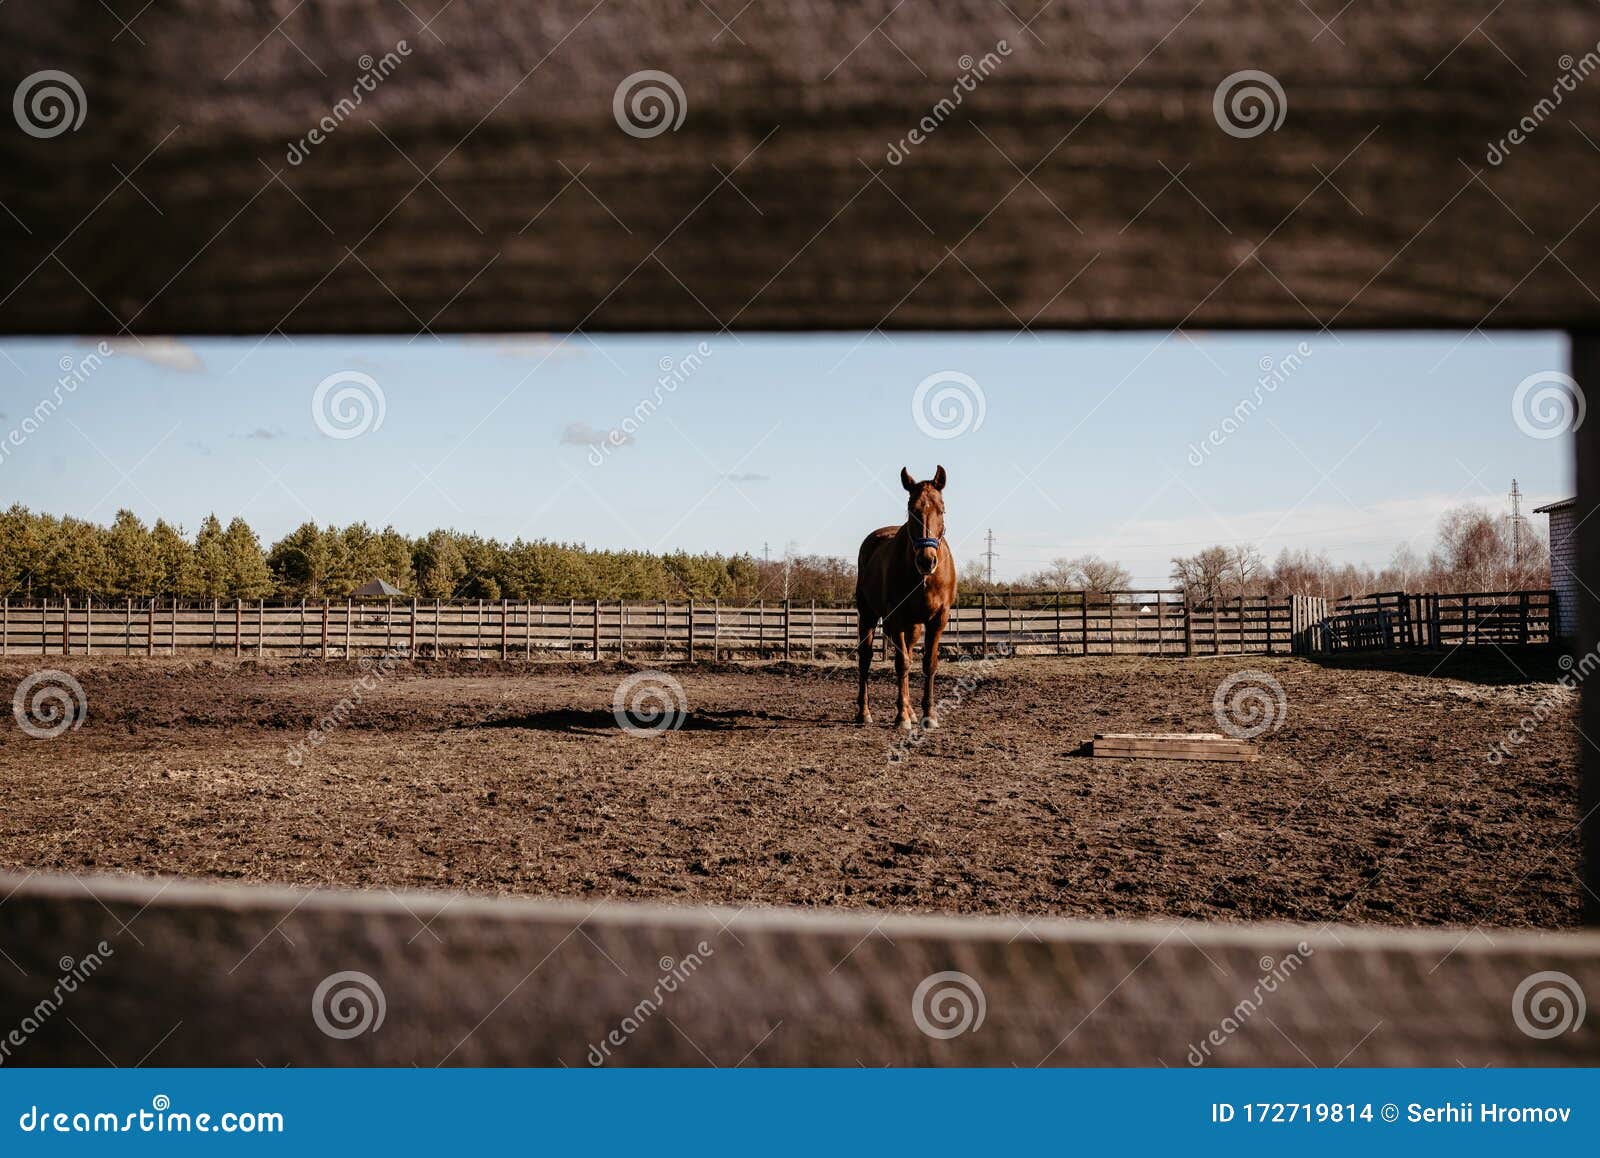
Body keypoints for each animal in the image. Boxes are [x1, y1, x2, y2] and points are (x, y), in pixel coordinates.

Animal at [854, 465, 957, 731]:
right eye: (912, 509)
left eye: (941, 509)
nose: (926, 560)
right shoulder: (897, 617)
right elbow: (901, 664)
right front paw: (901, 717)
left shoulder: (937, 620)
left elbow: (928, 664)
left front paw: (928, 715)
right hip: (868, 615)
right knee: (866, 658)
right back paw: (864, 713)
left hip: (914, 627)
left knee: (909, 654)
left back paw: (911, 711)